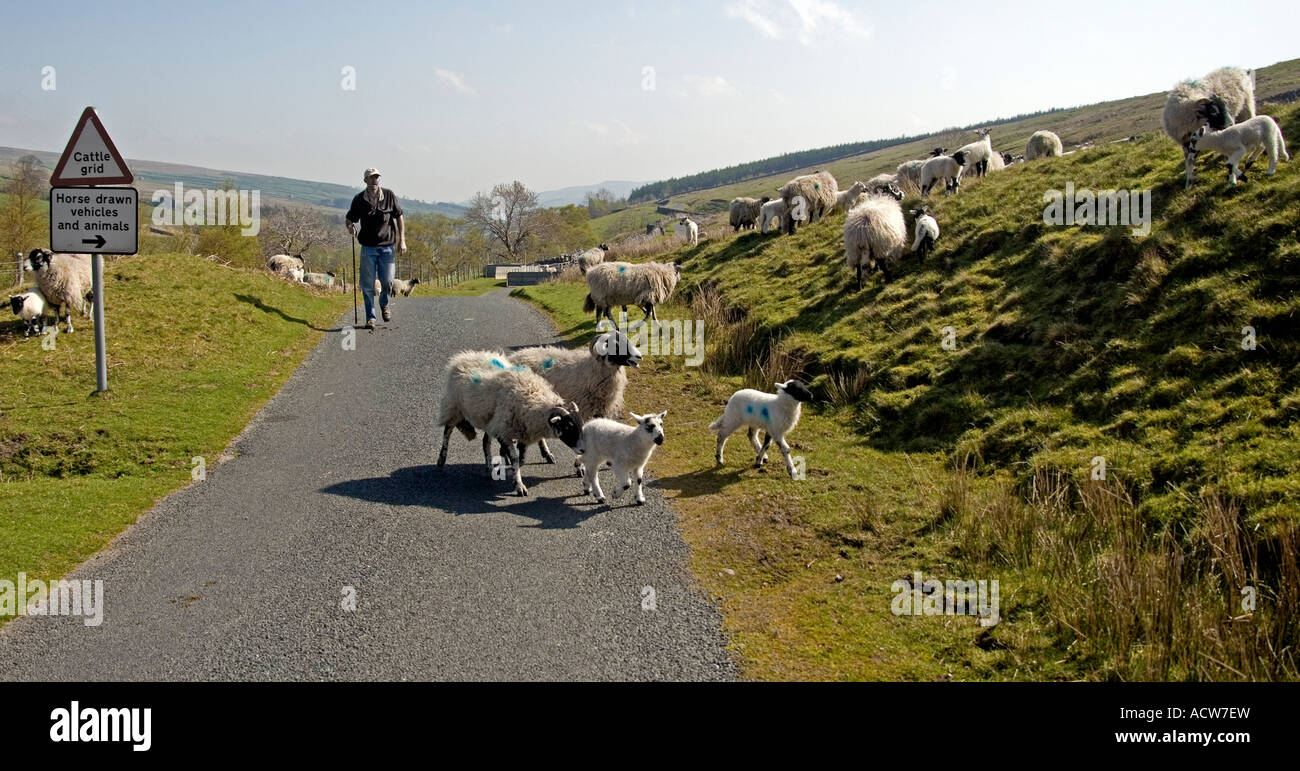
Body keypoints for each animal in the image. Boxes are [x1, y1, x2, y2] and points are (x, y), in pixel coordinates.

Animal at [435, 350, 584, 497]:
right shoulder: (503, 432)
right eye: (568, 427)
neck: (533, 399)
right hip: (454, 408)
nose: (583, 450)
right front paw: (519, 485)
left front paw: (512, 471)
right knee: (447, 431)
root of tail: (465, 356)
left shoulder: (520, 431)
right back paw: (441, 459)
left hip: (490, 421)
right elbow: (515, 459)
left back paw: (489, 468)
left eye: (581, 424)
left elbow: (521, 458)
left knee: (485, 442)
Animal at [510, 329, 643, 463]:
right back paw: (546, 454)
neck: (594, 370)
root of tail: (514, 356)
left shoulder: (601, 409)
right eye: (616, 346)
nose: (639, 356)